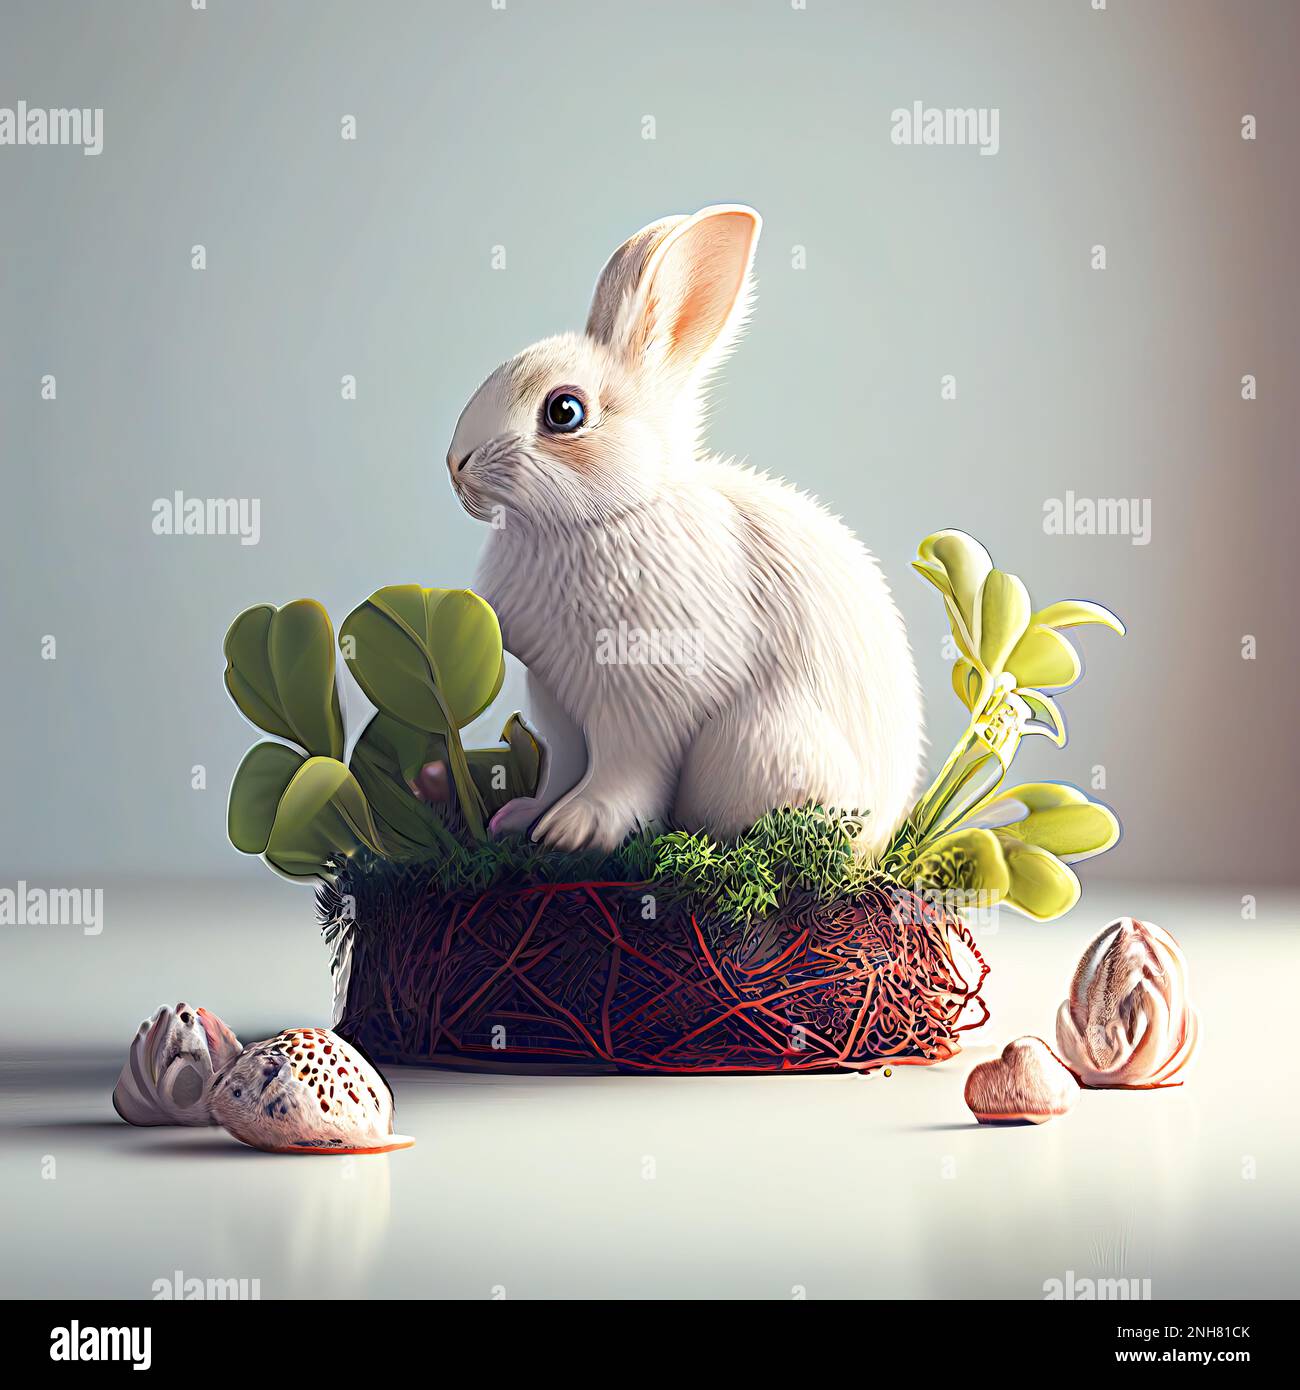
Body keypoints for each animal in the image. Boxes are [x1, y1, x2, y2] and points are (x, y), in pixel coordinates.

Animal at [445, 204, 923, 856]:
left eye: (564, 412)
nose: (455, 463)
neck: (613, 514)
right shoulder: (558, 707)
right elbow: (561, 767)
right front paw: (523, 818)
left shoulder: (643, 702)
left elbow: (622, 774)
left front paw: (576, 830)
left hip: (760, 741)